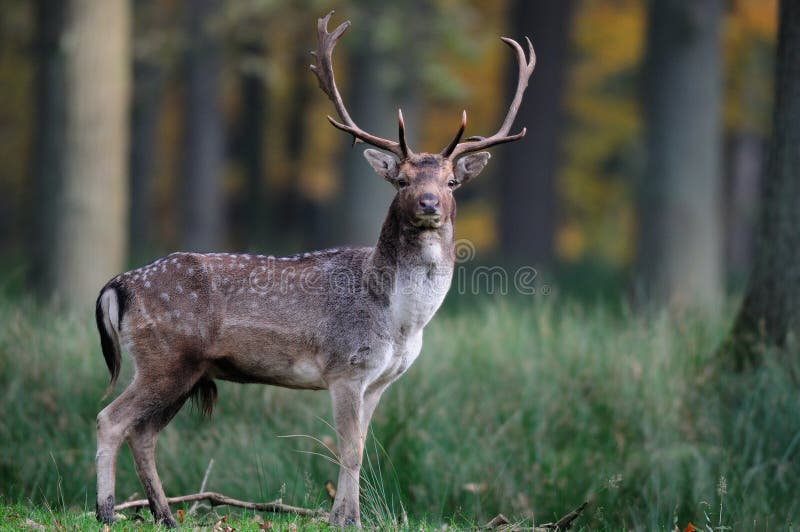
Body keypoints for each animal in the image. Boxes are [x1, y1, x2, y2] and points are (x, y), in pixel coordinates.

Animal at [93, 11, 534, 528]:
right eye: (402, 180)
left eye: (450, 182)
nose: (428, 203)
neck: (400, 320)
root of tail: (119, 284)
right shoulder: (345, 367)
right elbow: (348, 449)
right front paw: (344, 518)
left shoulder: (381, 380)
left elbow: (362, 447)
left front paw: (349, 516)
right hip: (165, 357)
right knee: (110, 419)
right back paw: (106, 511)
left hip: (185, 369)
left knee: (143, 433)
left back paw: (165, 515)